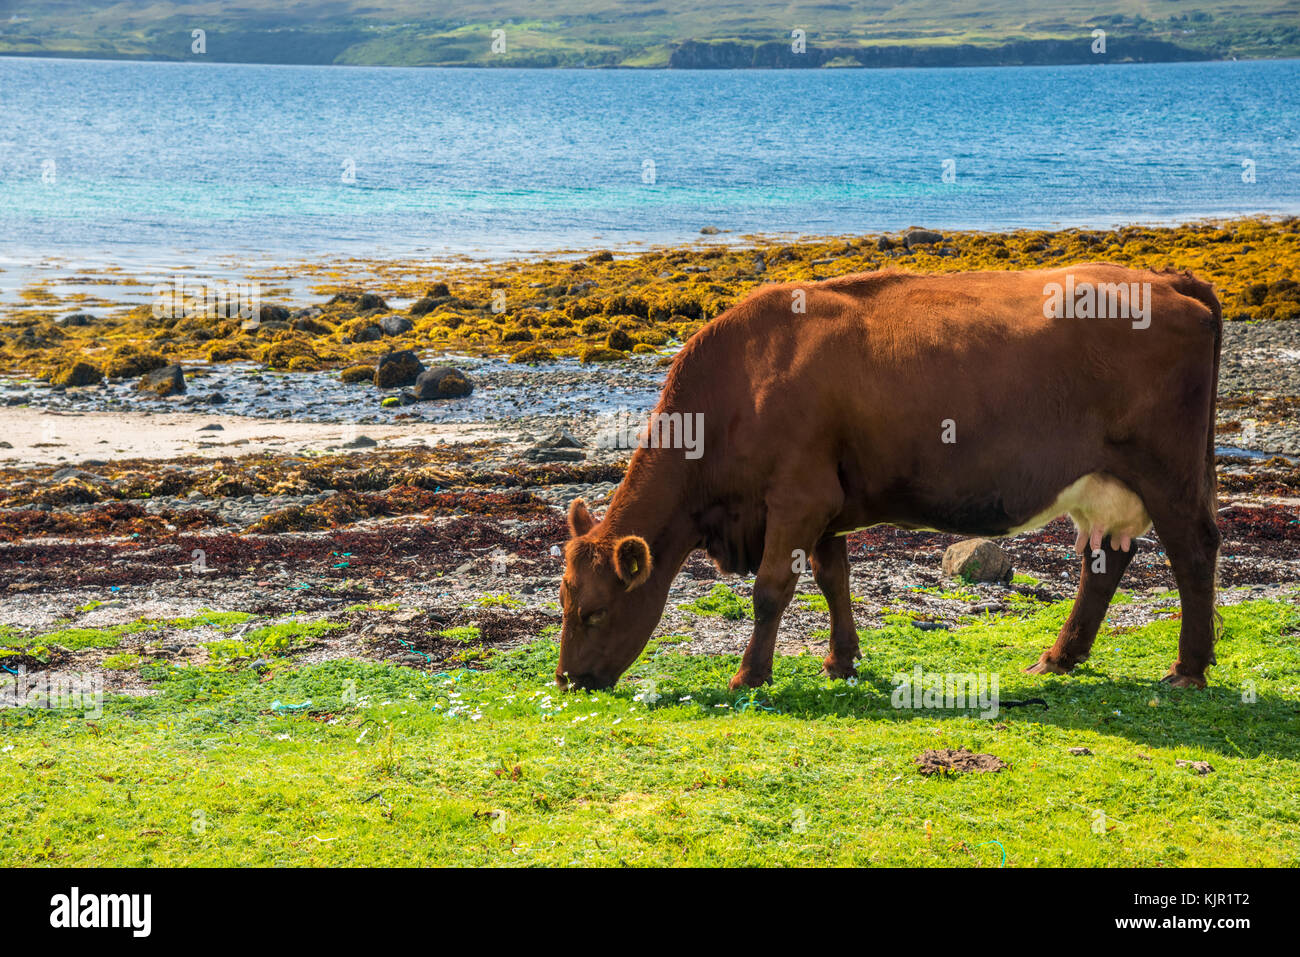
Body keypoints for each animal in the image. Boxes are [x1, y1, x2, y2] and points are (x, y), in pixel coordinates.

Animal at [557, 264, 1222, 694]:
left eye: (593, 612)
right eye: (563, 602)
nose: (567, 682)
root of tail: (1170, 280)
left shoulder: (797, 497)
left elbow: (771, 589)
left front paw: (749, 676)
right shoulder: (826, 502)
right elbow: (833, 580)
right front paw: (841, 662)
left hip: (1170, 473)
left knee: (1194, 551)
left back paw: (1187, 669)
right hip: (1105, 483)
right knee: (1104, 563)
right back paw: (1059, 658)